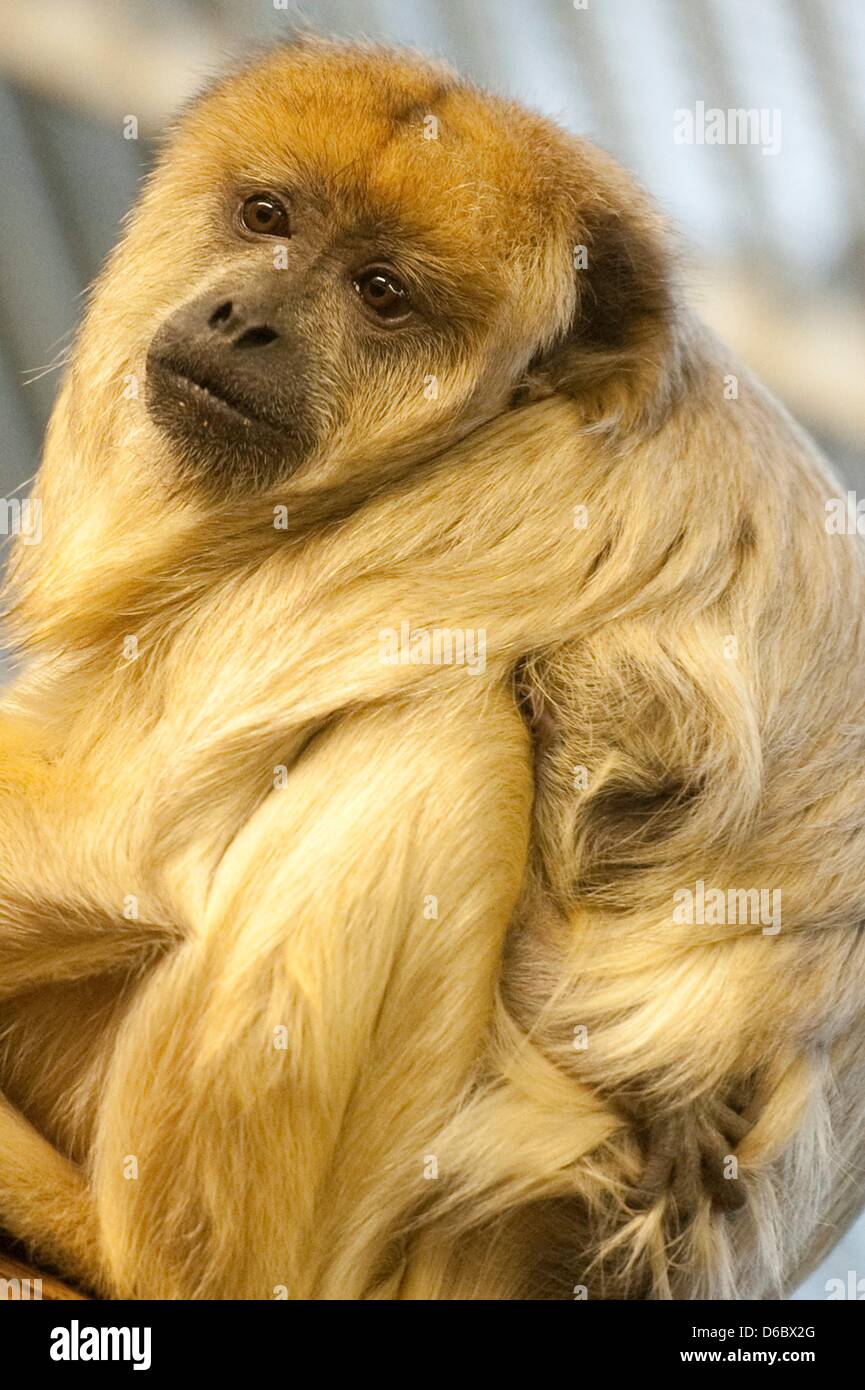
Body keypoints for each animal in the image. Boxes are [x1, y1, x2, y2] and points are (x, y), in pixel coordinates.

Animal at [1, 35, 865, 1300]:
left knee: (440, 735)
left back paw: (119, 1244)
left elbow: (121, 826)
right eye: (267, 216)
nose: (246, 319)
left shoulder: (500, 505)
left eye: (380, 294)